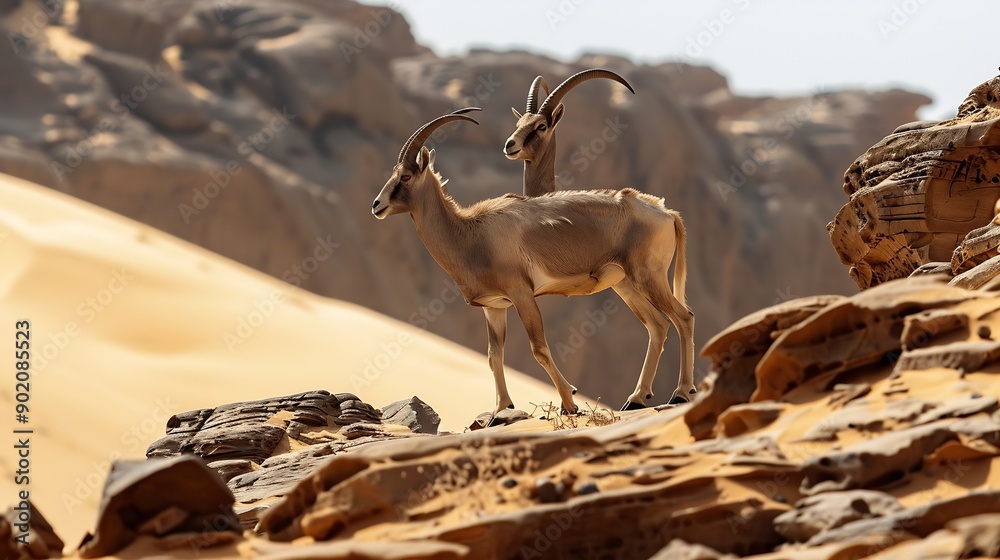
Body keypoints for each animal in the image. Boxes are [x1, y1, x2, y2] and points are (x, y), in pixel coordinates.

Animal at [372, 110, 695, 423]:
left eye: (406, 176)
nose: (376, 205)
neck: (471, 232)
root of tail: (666, 212)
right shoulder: (495, 306)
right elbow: (494, 356)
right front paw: (500, 411)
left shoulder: (522, 295)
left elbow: (538, 348)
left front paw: (569, 403)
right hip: (626, 285)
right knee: (658, 325)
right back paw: (637, 398)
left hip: (648, 278)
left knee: (683, 318)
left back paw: (679, 394)